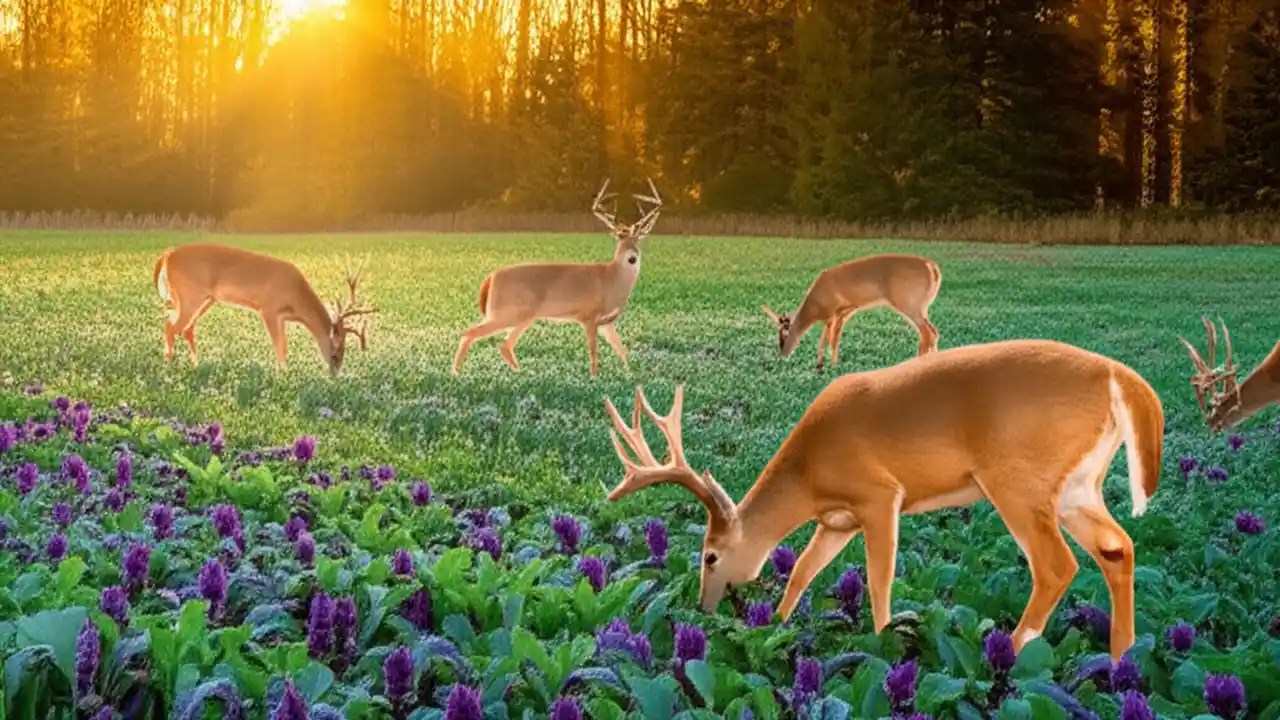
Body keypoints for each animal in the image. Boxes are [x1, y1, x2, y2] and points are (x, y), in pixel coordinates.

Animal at [153, 243, 376, 376]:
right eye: (336, 353)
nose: (334, 376)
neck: (296, 296)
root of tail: (167, 255)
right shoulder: (268, 308)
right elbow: (279, 345)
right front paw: (283, 375)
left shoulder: (282, 316)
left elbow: (284, 344)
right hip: (189, 295)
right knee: (170, 326)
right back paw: (168, 365)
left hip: (205, 299)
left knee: (185, 328)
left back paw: (196, 364)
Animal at [451, 179, 662, 378]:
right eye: (619, 238)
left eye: (637, 239)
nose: (632, 257)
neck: (611, 280)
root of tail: (490, 278)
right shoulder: (588, 315)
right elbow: (593, 352)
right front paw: (594, 378)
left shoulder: (606, 322)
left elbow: (622, 351)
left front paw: (630, 376)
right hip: (508, 312)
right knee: (469, 333)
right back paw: (456, 373)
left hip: (522, 316)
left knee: (504, 345)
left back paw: (521, 373)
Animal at [602, 339, 1165, 662]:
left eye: (710, 556)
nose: (704, 607)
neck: (809, 475)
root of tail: (1122, 378)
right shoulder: (838, 520)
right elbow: (804, 569)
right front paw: (778, 625)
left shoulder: (880, 495)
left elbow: (879, 578)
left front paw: (881, 641)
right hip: (1077, 486)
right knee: (1119, 547)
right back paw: (1122, 659)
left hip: (1018, 477)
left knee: (1056, 564)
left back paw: (1009, 650)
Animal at [761, 254, 942, 371]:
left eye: (784, 334)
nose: (783, 353)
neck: (814, 304)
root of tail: (933, 269)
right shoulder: (843, 312)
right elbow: (833, 337)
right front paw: (830, 364)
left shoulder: (831, 312)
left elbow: (827, 338)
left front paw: (823, 365)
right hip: (921, 307)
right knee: (933, 332)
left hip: (910, 304)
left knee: (927, 333)